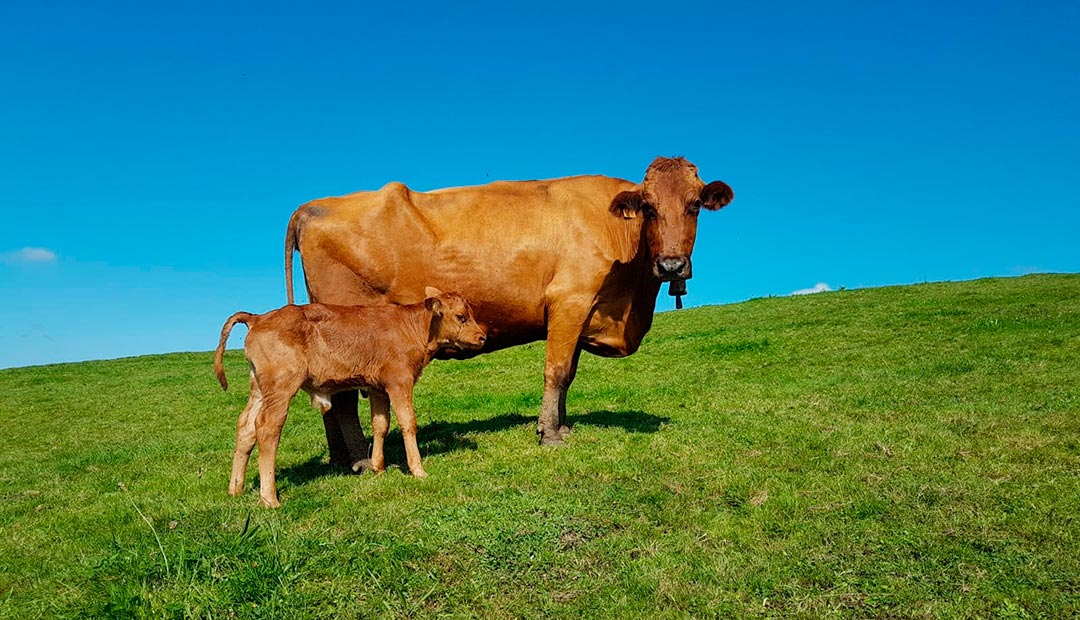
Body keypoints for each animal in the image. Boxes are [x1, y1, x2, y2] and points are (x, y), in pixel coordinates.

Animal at [213, 289, 486, 507]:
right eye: (461, 316)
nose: (482, 336)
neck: (413, 328)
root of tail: (258, 317)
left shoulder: (378, 387)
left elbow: (380, 424)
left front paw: (377, 468)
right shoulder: (399, 381)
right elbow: (408, 422)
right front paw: (418, 470)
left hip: (260, 389)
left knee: (246, 427)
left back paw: (235, 489)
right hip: (281, 387)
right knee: (267, 428)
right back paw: (269, 498)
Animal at [284, 156, 733, 464]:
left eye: (695, 204)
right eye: (649, 207)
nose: (671, 266)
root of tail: (312, 207)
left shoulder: (579, 315)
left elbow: (569, 374)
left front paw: (561, 424)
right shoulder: (569, 301)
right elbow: (556, 371)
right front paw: (549, 433)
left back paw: (341, 458)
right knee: (343, 399)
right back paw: (360, 459)